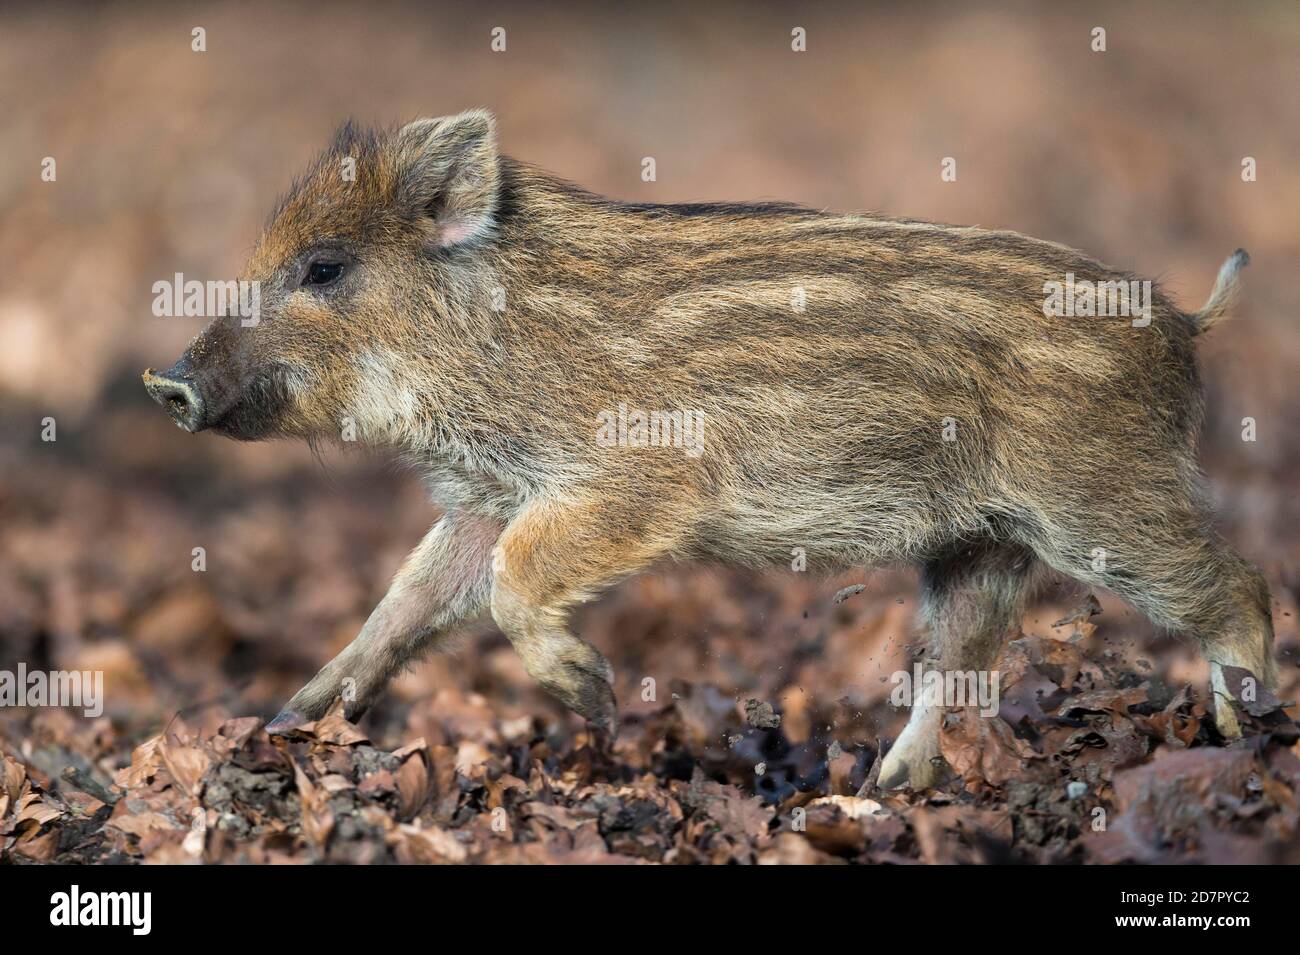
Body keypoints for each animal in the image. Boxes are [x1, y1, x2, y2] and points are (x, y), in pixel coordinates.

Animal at [143, 109, 1275, 790]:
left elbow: (513, 577)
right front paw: (295, 716)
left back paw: (1241, 733)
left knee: (1239, 588)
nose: (169, 383)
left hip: (1099, 501)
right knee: (958, 665)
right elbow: (411, 595)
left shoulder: (638, 481)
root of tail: (1188, 323)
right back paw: (879, 793)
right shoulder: (484, 494)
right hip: (981, 543)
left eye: (326, 267)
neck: (493, 340)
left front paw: (594, 697)